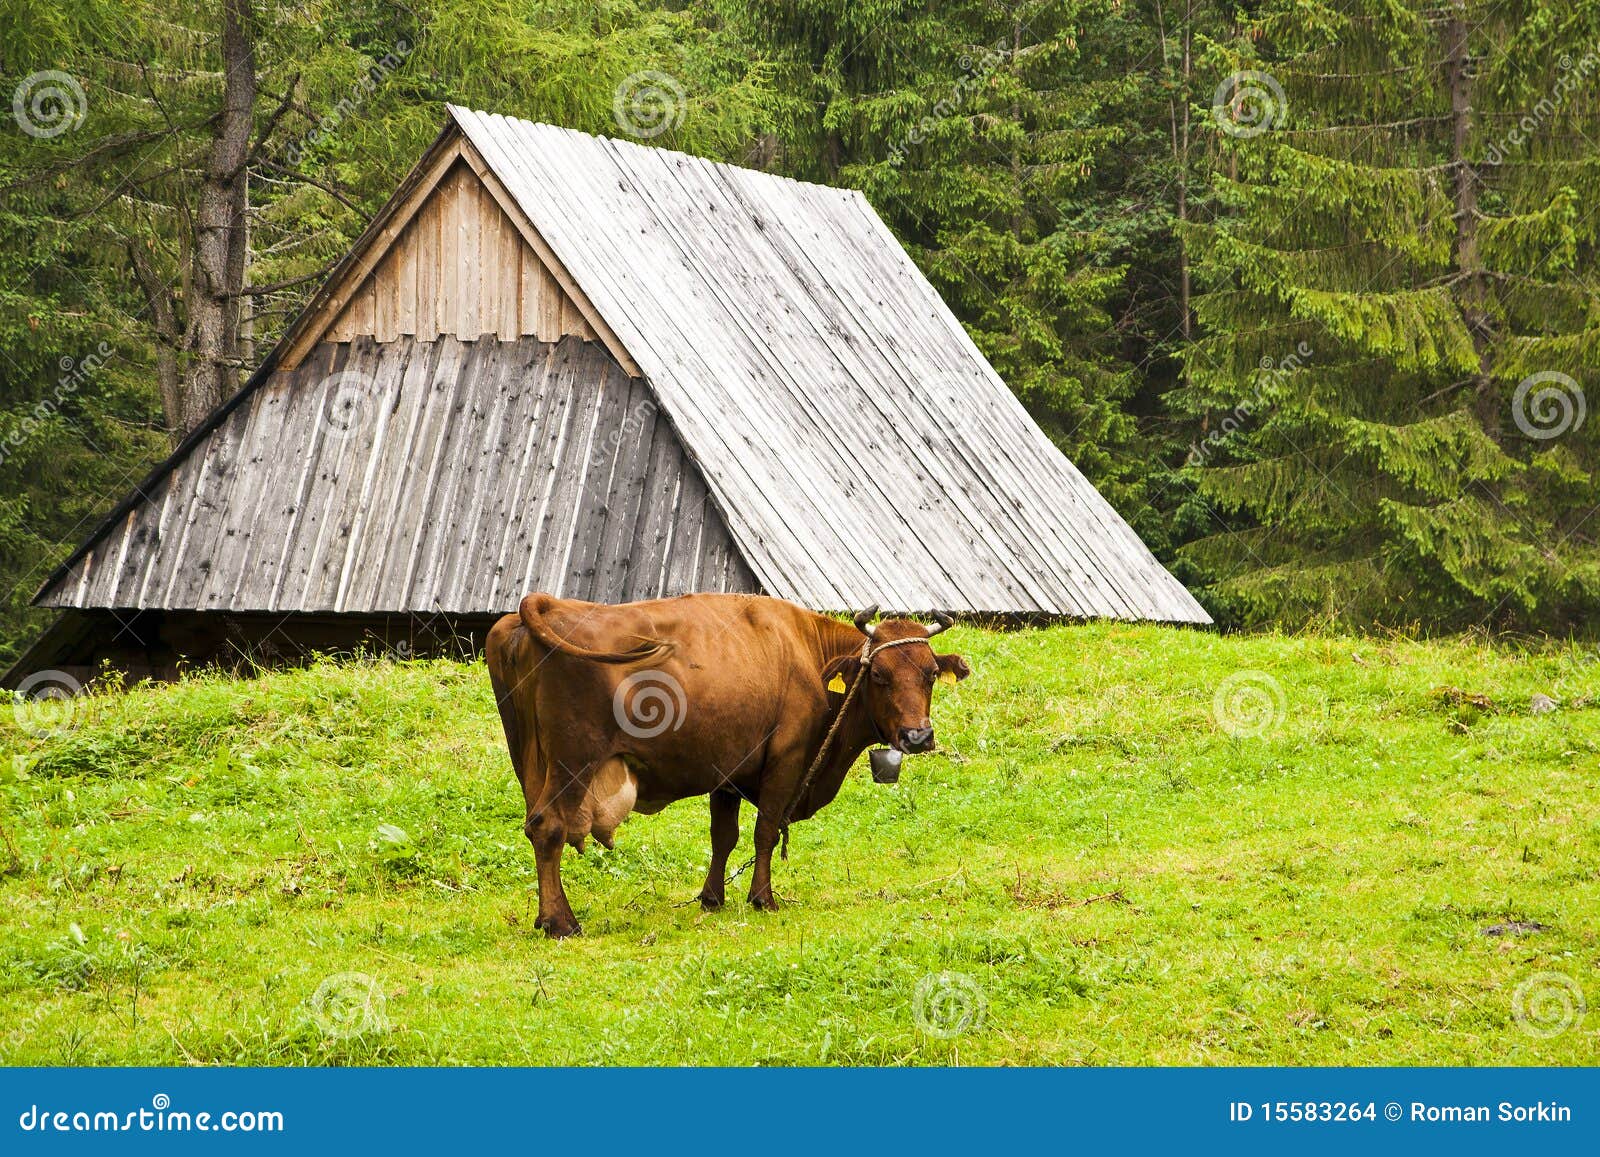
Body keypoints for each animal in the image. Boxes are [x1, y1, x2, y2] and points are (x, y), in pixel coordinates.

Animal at [485, 592, 971, 938]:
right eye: (879, 675)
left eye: (930, 673)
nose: (917, 737)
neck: (805, 651)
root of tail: (546, 604)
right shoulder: (785, 759)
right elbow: (765, 832)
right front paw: (763, 898)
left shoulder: (729, 770)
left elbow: (724, 836)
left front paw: (711, 897)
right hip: (573, 761)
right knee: (549, 827)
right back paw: (561, 923)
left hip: (529, 763)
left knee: (535, 828)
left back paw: (546, 917)